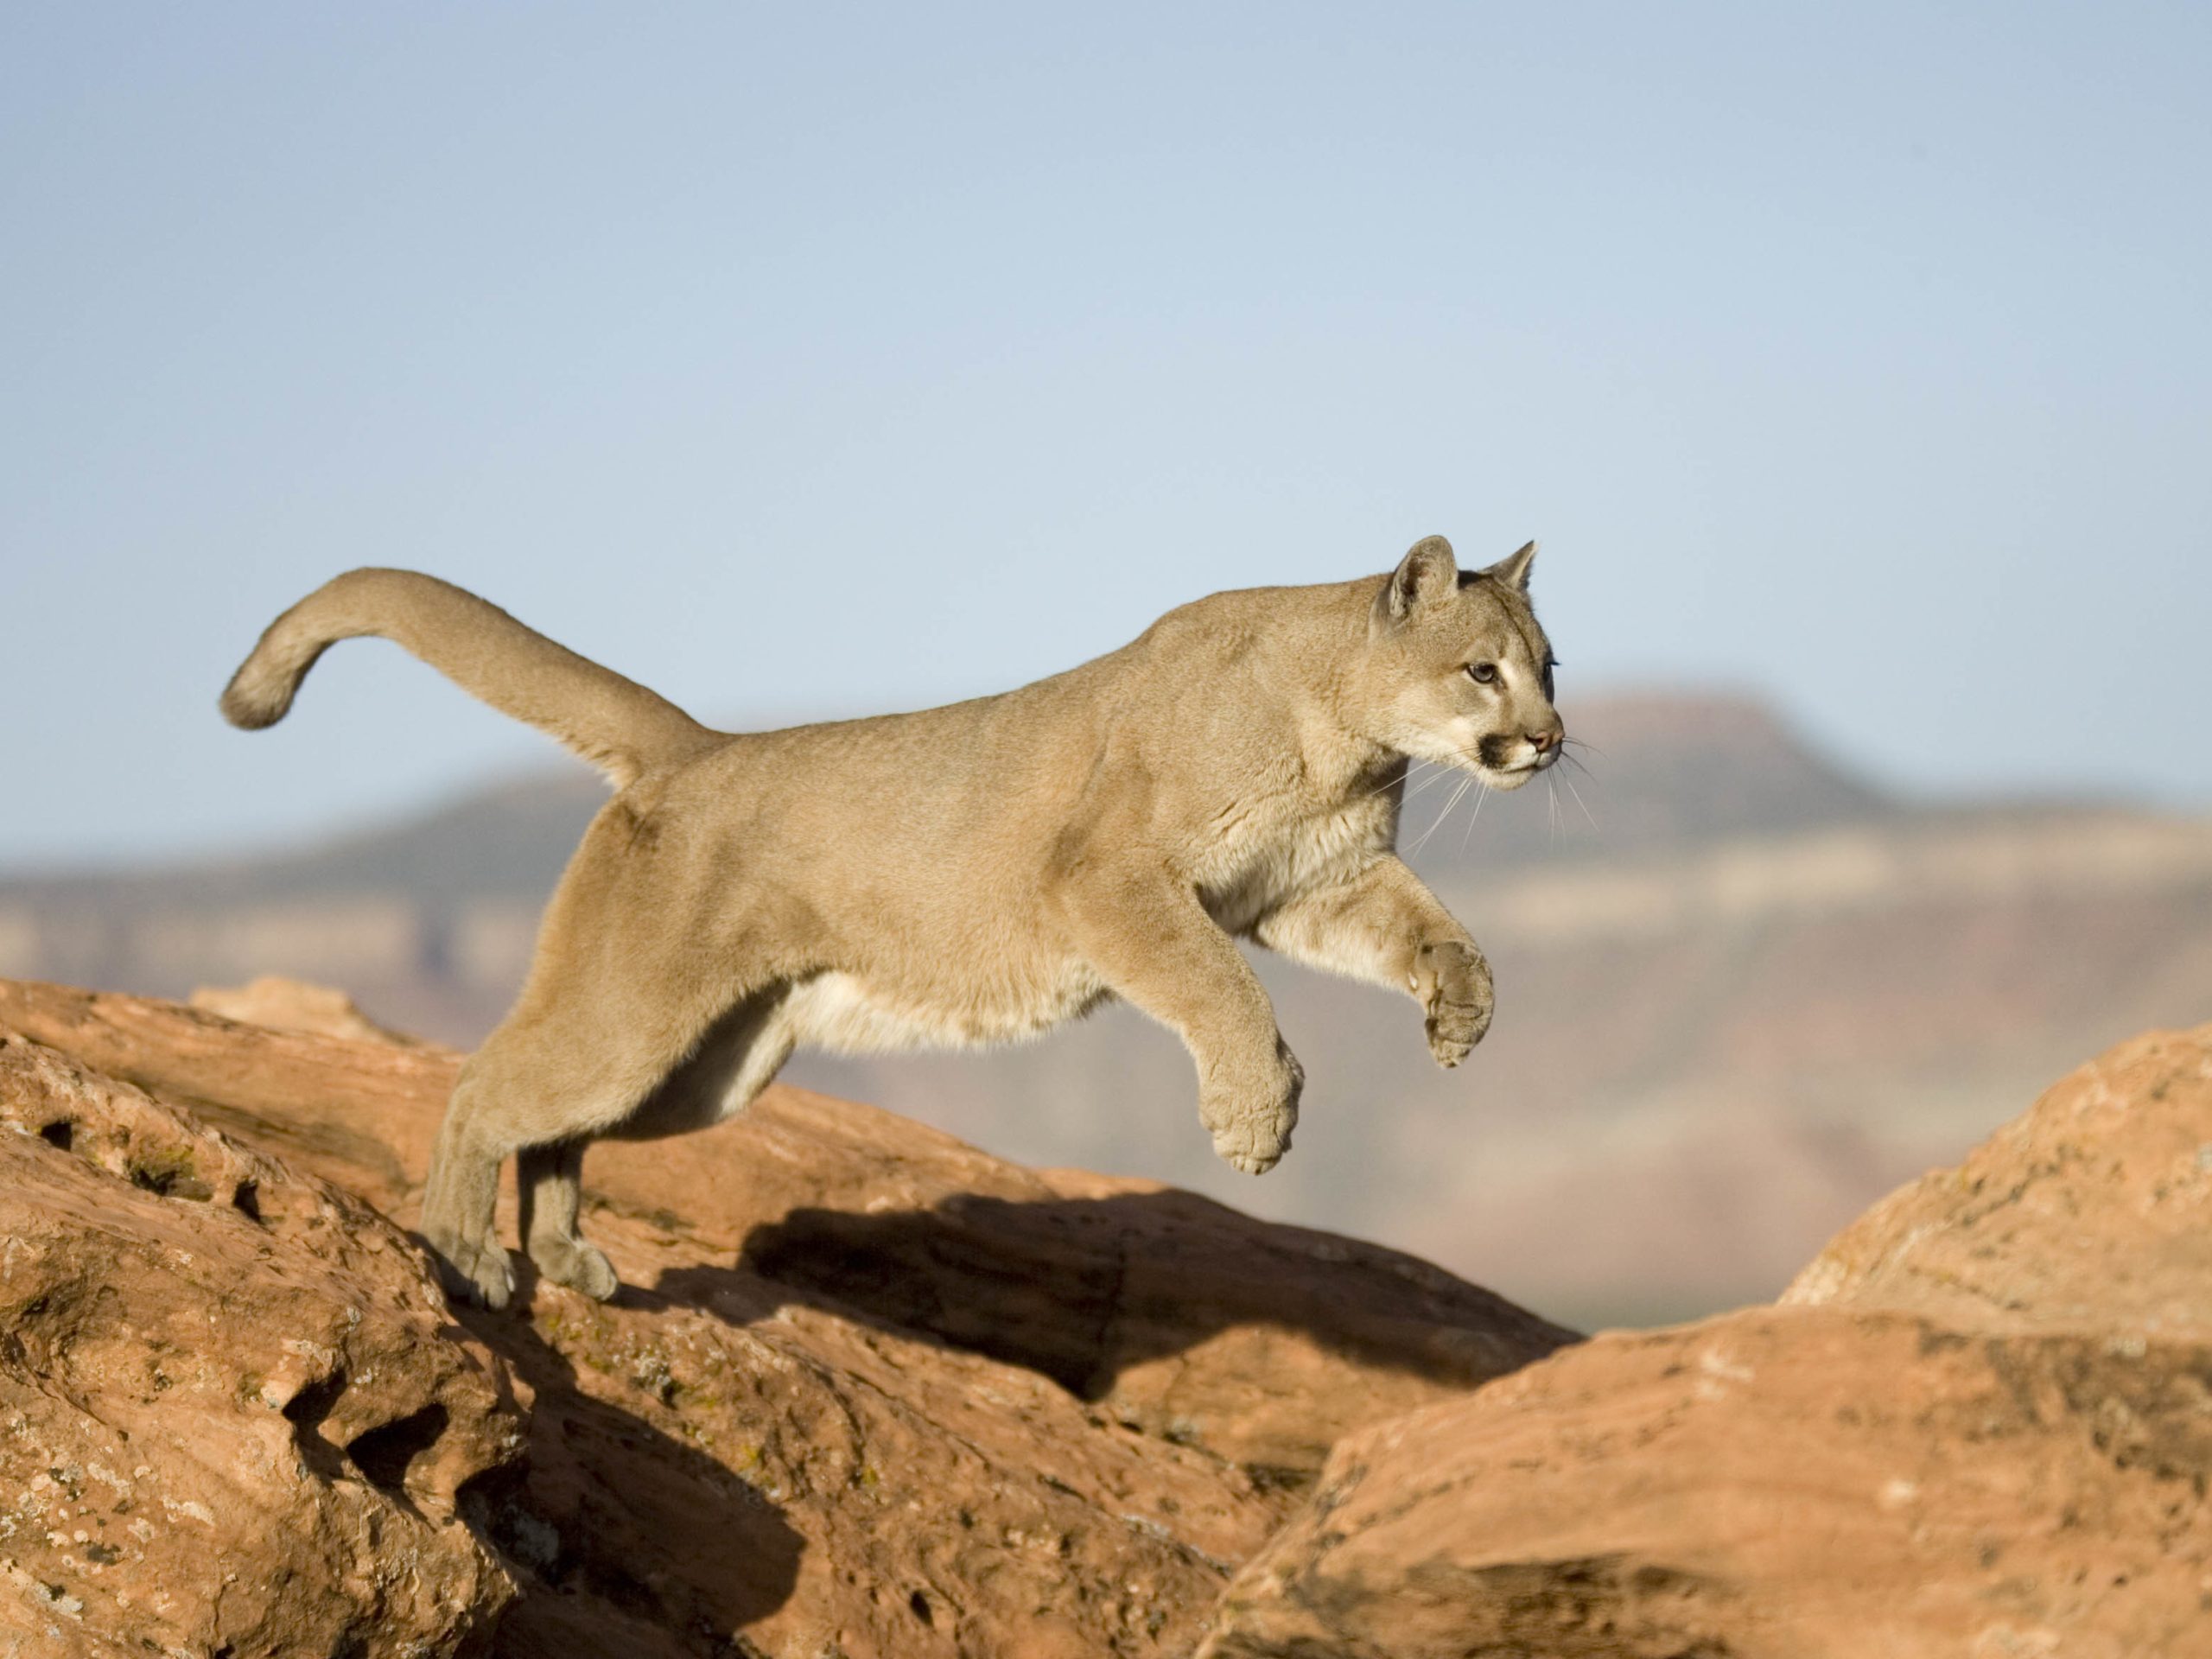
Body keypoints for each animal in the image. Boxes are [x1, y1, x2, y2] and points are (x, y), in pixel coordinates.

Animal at [219, 539, 1557, 1309]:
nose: (1547, 740)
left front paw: (1460, 1014)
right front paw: (1253, 1123)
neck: (1339, 734)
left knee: (561, 1128)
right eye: (1483, 670)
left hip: (707, 1069)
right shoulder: (1112, 878)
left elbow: (1434, 934)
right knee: (483, 1089)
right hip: (633, 1020)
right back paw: (468, 1254)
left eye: (1549, 662)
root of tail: (699, 748)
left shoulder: (1314, 884)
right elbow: (1219, 989)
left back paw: (565, 1260)